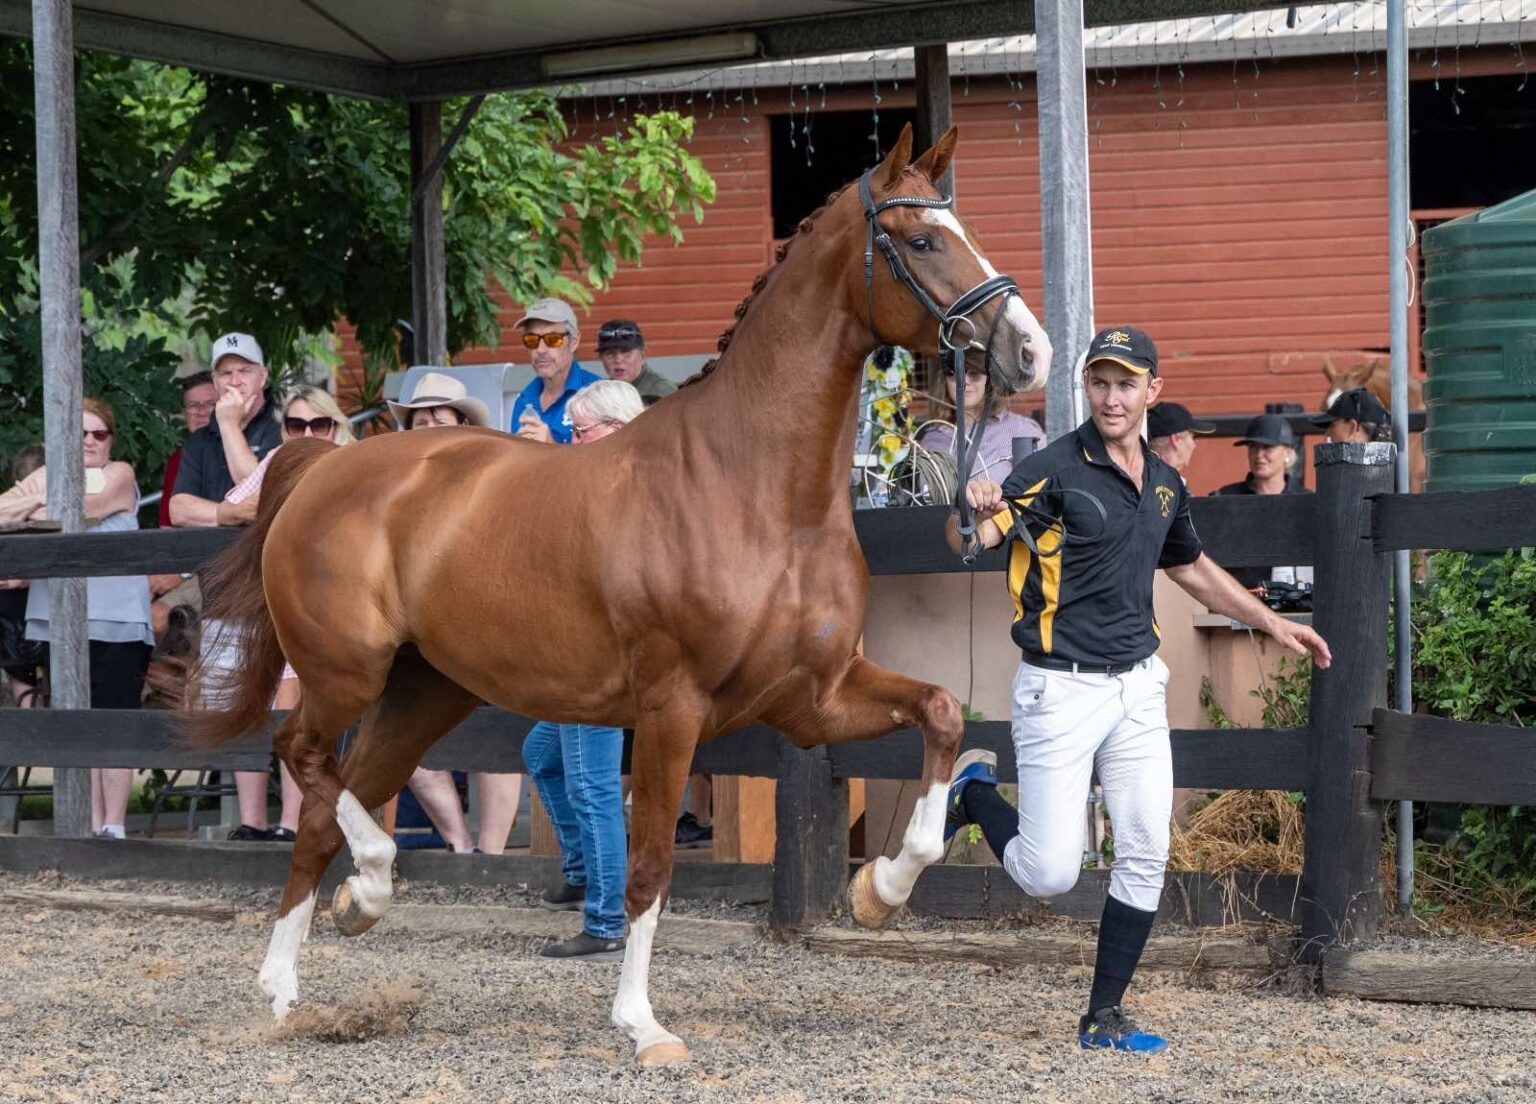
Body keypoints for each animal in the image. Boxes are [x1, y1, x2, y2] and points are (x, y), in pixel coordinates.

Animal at [188, 124, 1051, 1067]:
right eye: (923, 240)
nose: (1032, 349)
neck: (754, 490)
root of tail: (322, 468)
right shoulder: (673, 710)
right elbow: (649, 867)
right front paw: (643, 1025)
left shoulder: (809, 700)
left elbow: (940, 714)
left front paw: (879, 890)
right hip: (347, 673)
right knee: (300, 756)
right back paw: (366, 887)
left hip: (425, 691)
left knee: (320, 805)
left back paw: (302, 971)